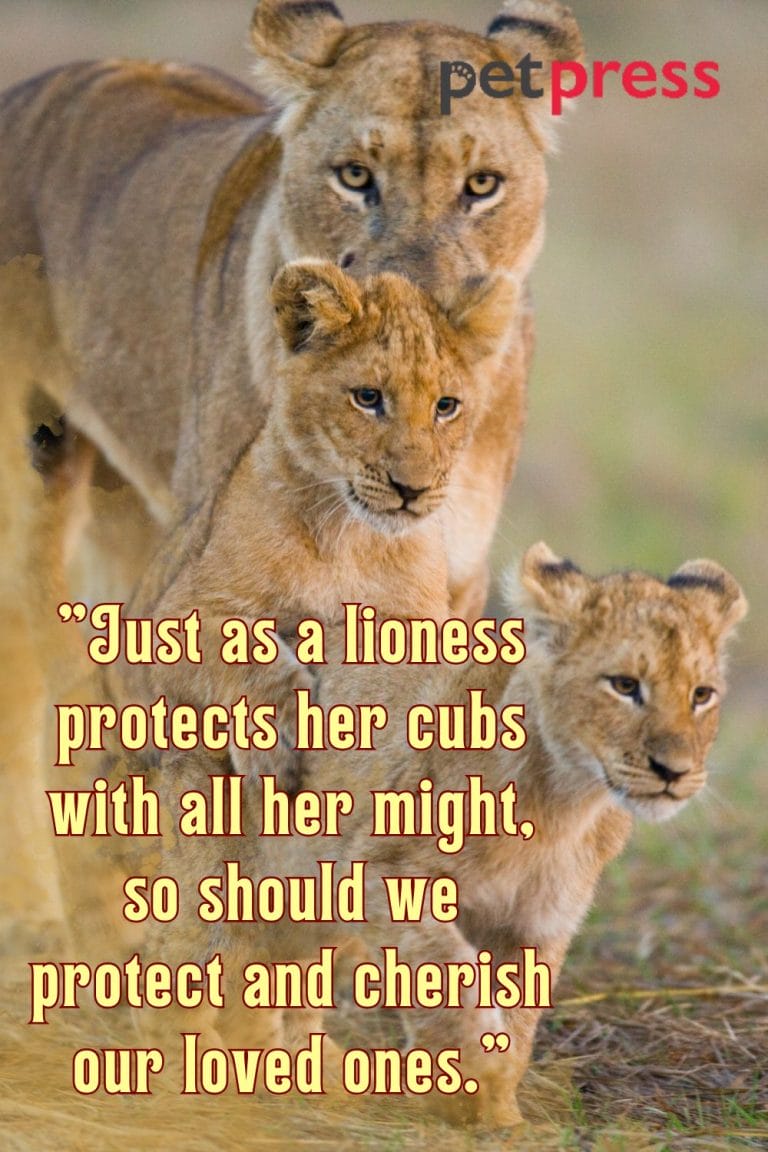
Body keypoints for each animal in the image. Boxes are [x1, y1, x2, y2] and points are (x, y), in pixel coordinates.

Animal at [142, 543, 745, 1126]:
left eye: (702, 695)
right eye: (624, 685)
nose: (674, 772)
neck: (567, 805)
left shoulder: (537, 924)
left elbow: (517, 1022)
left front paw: (500, 1115)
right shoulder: (382, 872)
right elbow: (448, 975)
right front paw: (473, 1075)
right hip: (224, 886)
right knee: (173, 970)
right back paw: (186, 1086)